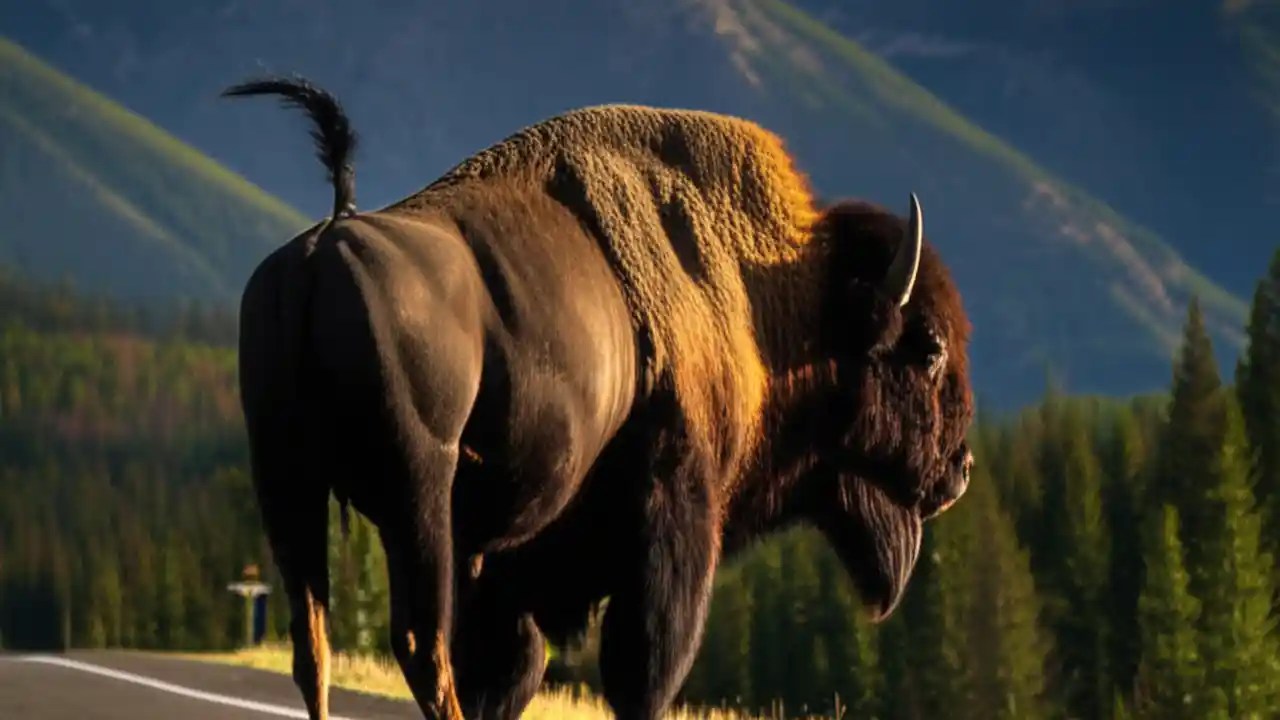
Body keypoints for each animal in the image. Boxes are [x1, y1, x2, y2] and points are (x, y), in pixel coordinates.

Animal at [225, 76, 975, 720]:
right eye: (929, 347)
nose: (960, 471)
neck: (766, 301)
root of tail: (324, 245)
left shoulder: (511, 564)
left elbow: (515, 667)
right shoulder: (674, 514)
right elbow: (641, 672)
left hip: (287, 483)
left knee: (314, 646)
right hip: (419, 492)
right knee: (421, 645)